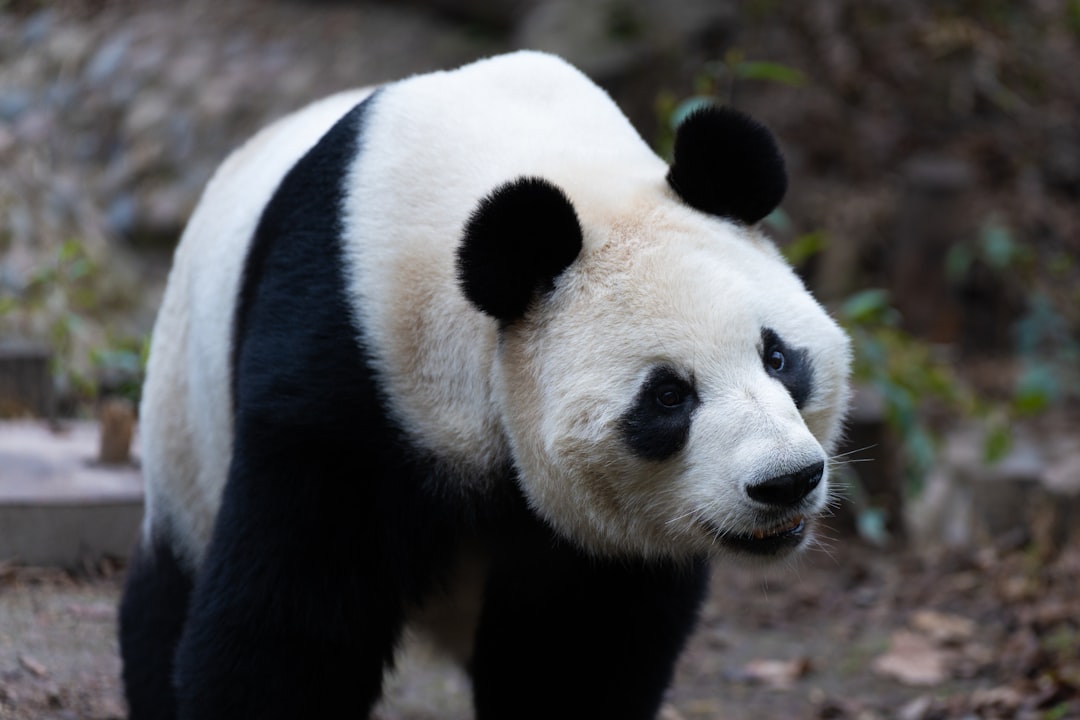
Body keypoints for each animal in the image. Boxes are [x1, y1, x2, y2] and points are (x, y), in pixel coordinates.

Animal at [119, 51, 851, 720]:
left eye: (777, 357)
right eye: (668, 395)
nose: (786, 480)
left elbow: (581, 645)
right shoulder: (344, 358)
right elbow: (289, 620)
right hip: (186, 429)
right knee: (163, 601)